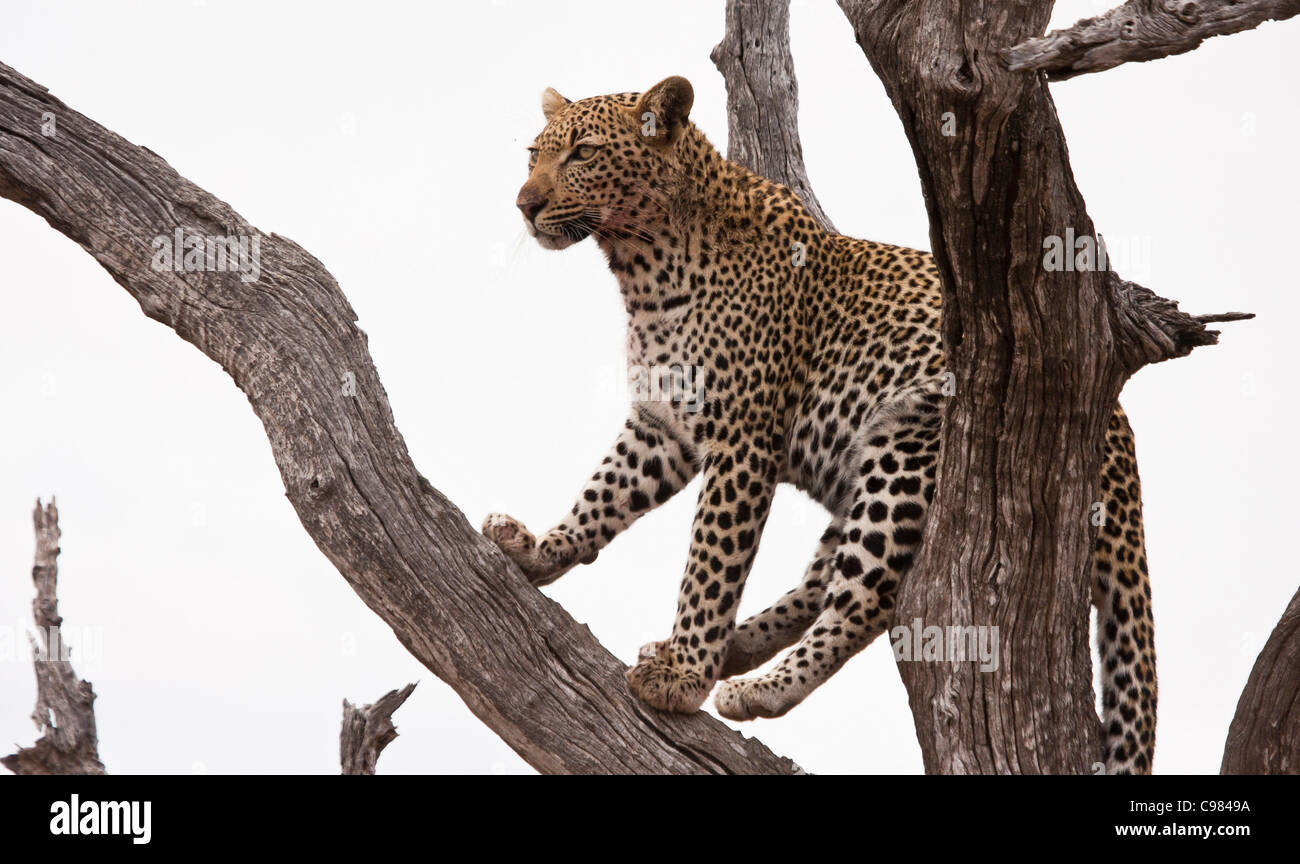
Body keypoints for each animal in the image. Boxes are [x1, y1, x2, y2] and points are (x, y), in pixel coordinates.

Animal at [482, 76, 1157, 774]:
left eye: (583, 153)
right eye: (534, 154)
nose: (525, 204)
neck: (642, 267)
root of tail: (1119, 436)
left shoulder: (743, 439)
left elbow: (711, 564)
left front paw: (685, 675)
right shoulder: (660, 425)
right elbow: (600, 497)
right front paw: (540, 549)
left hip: (906, 449)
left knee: (868, 600)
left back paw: (754, 686)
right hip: (862, 473)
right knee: (824, 581)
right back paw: (733, 648)